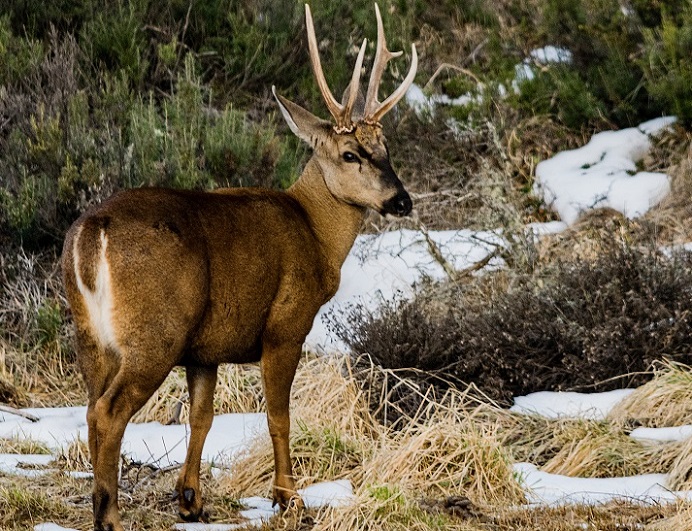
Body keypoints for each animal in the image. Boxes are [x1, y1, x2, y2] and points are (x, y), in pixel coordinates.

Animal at [61, 4, 417, 530]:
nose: (402, 200)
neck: (315, 232)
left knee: (90, 409)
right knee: (108, 412)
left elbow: (202, 417)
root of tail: (92, 231)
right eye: (351, 153)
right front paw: (289, 497)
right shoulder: (286, 325)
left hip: (90, 335)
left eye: (388, 149)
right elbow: (279, 415)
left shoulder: (206, 349)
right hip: (156, 332)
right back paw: (109, 516)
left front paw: (190, 498)